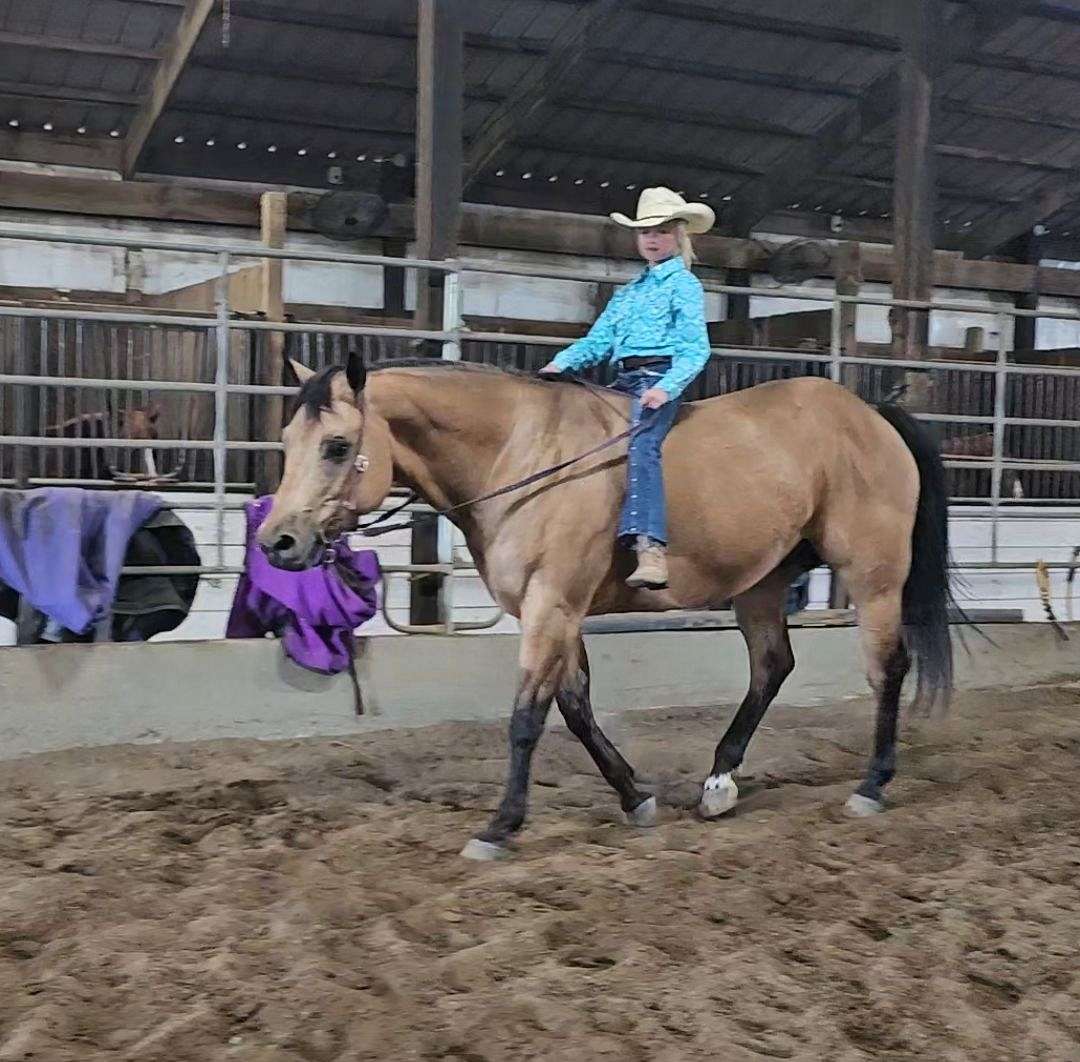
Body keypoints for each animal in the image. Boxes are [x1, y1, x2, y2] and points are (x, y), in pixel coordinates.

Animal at [259, 355, 953, 860]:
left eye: (337, 446)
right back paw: (719, 784)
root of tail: (872, 415)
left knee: (887, 668)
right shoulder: (556, 612)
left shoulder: (552, 605)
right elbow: (574, 706)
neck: (521, 456)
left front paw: (499, 827)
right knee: (771, 667)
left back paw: (871, 784)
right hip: (761, 582)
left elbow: (527, 718)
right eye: (289, 439)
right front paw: (634, 797)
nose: (277, 542)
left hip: (874, 577)